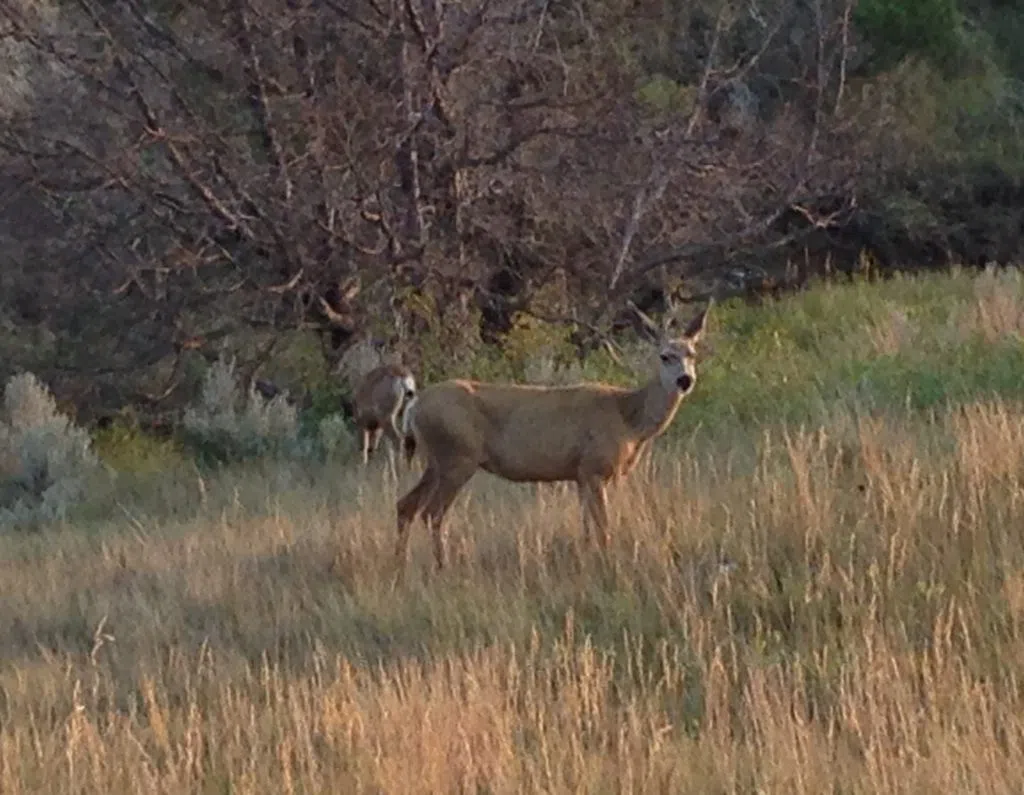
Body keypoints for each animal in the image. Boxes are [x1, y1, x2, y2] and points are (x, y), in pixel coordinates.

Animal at [394, 298, 712, 576]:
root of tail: (415, 406)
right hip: (457, 457)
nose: (685, 380)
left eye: (692, 355)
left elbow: (586, 528)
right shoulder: (595, 468)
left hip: (435, 461)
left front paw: (586, 561)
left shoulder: (580, 474)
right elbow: (603, 526)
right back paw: (442, 567)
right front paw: (609, 565)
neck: (629, 420)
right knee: (432, 513)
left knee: (405, 505)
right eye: (665, 356)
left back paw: (402, 567)